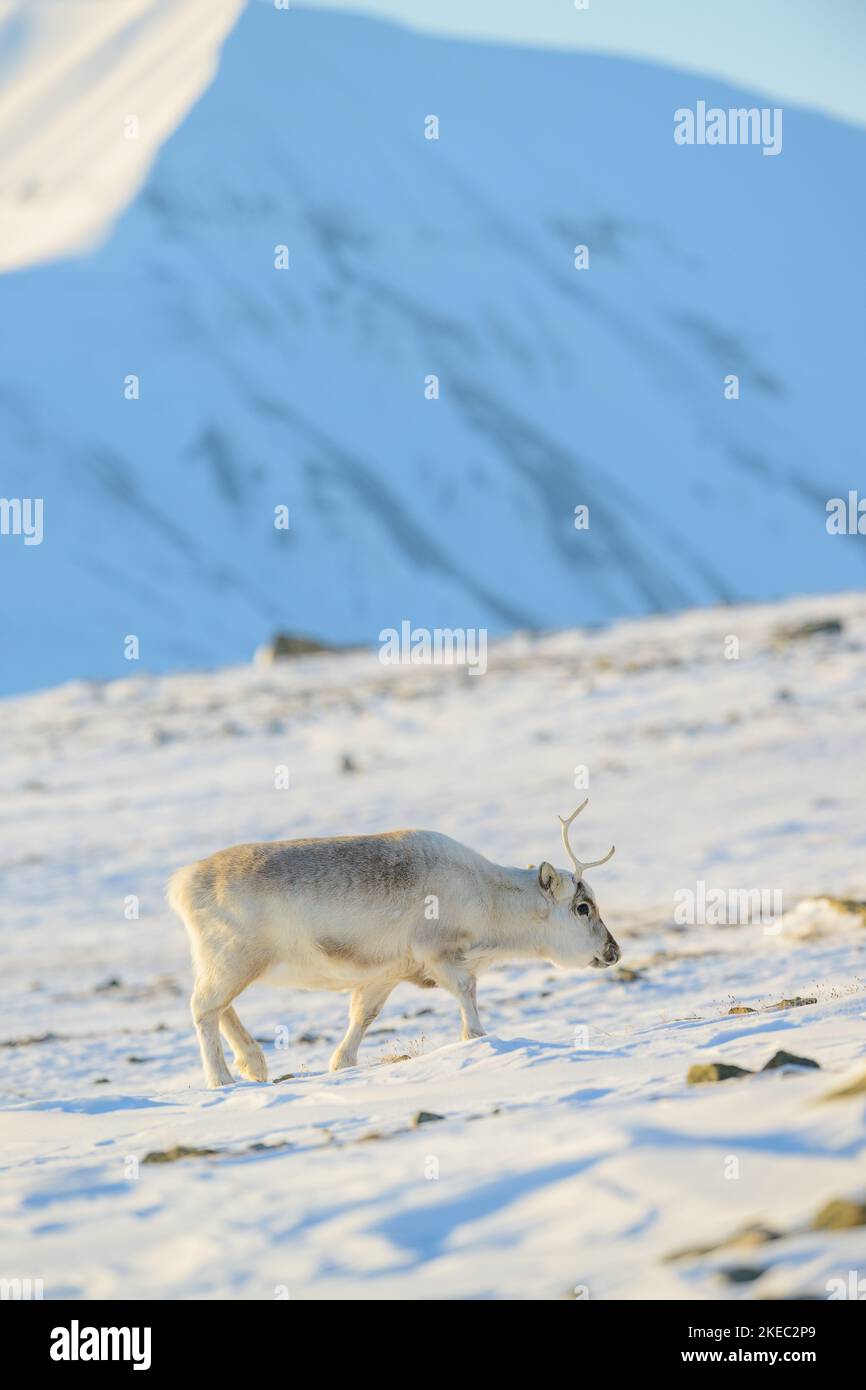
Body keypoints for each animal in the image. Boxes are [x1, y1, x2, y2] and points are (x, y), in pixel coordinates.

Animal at [167, 800, 620, 1087]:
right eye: (583, 907)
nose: (613, 951)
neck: (490, 900)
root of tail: (180, 885)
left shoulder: (385, 974)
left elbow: (361, 1019)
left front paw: (340, 1064)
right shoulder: (437, 954)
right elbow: (467, 996)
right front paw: (476, 1039)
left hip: (228, 962)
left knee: (219, 1007)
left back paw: (254, 1064)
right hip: (234, 959)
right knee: (203, 1007)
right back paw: (222, 1079)